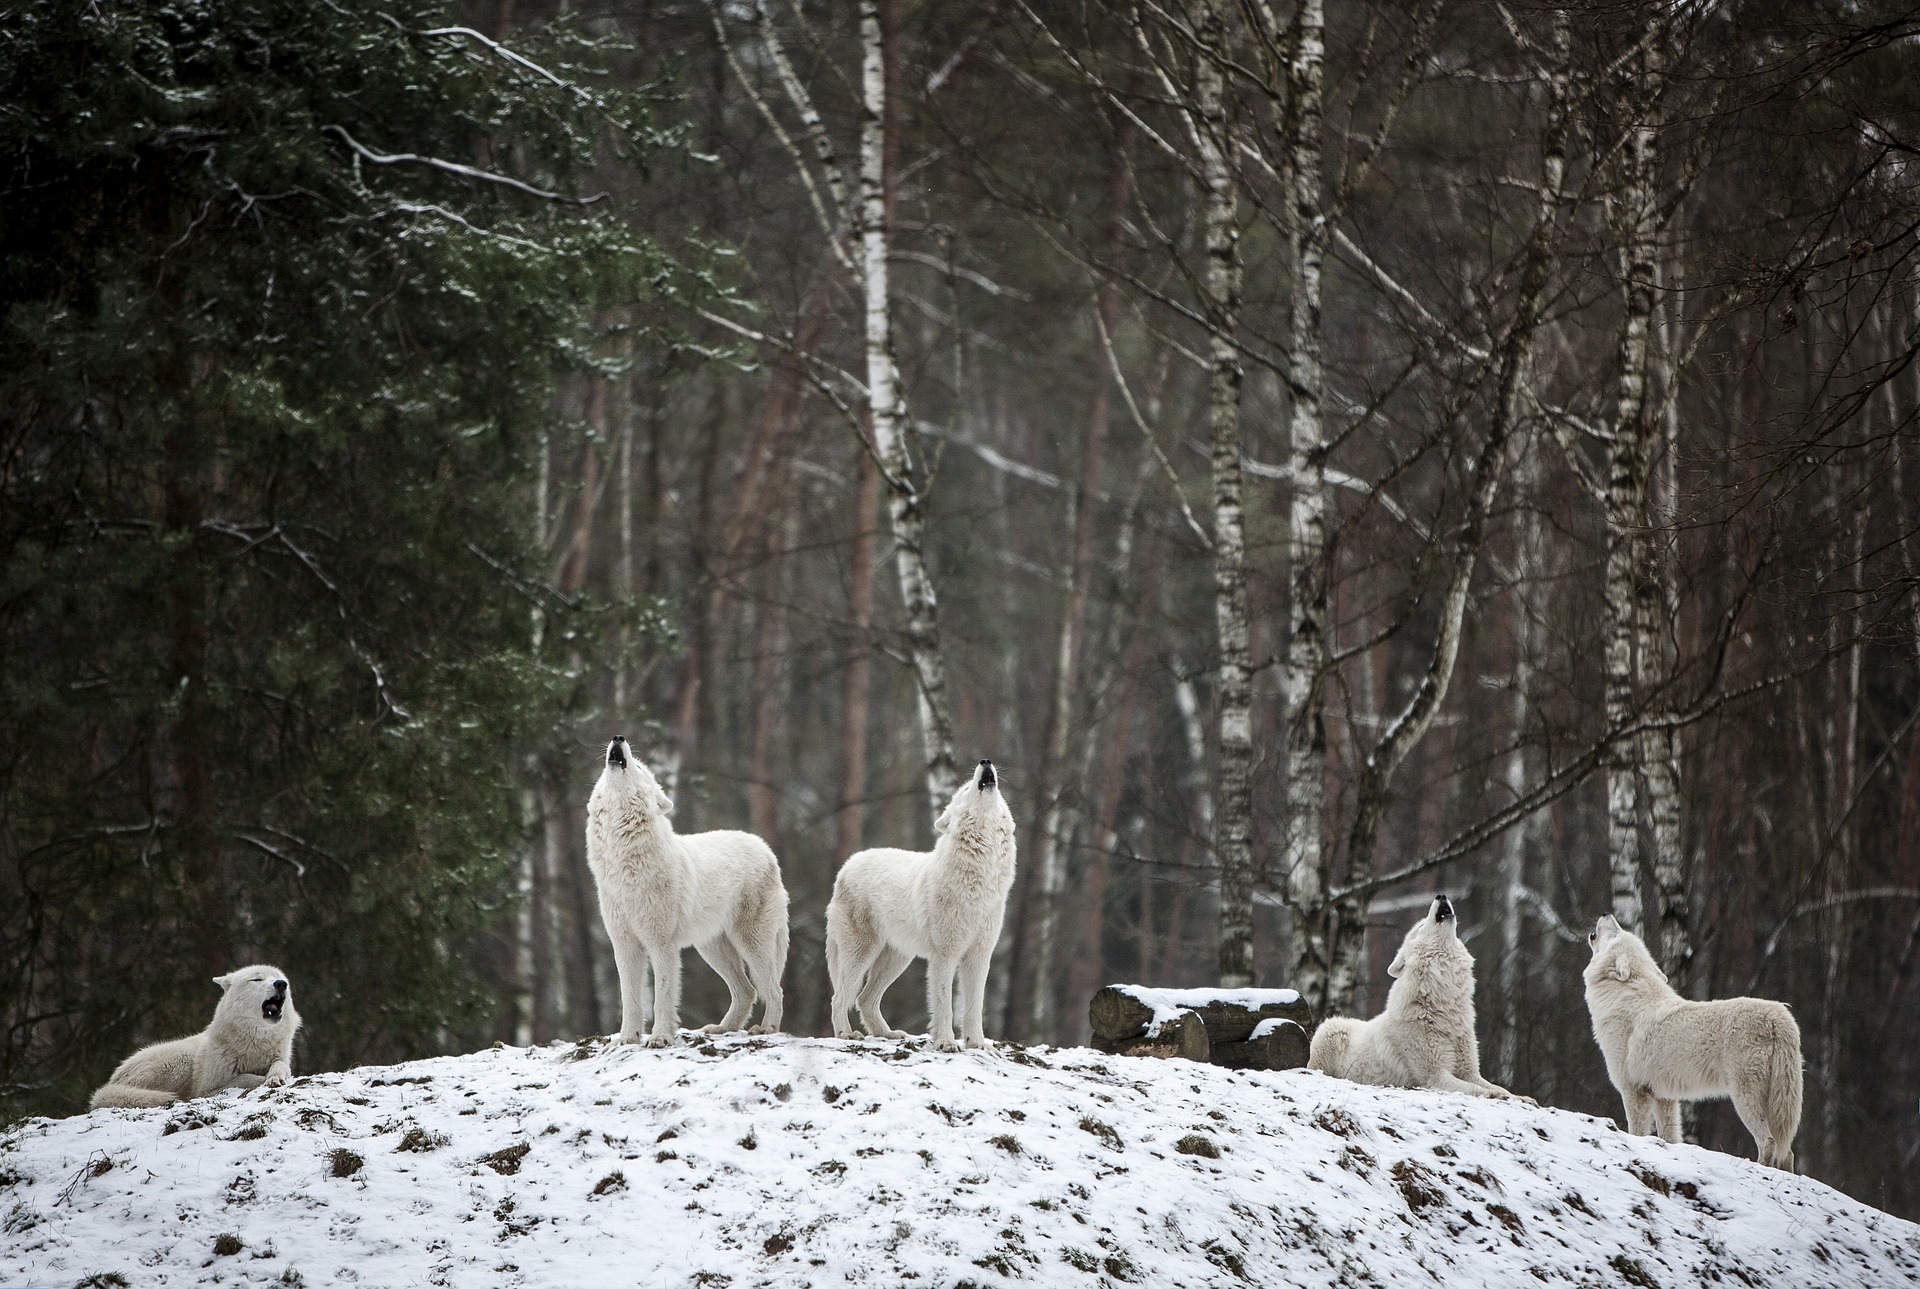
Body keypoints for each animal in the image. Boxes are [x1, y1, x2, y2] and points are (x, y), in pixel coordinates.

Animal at [89, 967, 300, 1110]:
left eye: (280, 979)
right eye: (256, 979)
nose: (281, 983)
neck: (255, 1043)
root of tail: (112, 1081)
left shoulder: (280, 1058)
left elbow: (281, 1066)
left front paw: (275, 1077)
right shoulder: (206, 1090)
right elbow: (244, 1077)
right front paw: (261, 1078)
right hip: (179, 1062)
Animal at [585, 735, 788, 1047]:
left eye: (640, 768)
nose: (618, 737)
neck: (624, 866)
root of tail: (765, 849)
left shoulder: (662, 944)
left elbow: (663, 996)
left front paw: (660, 1037)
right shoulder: (624, 945)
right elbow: (630, 998)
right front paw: (628, 1038)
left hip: (751, 943)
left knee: (773, 990)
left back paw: (766, 1029)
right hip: (712, 948)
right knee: (747, 991)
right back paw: (722, 1028)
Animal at [826, 760, 1016, 1051]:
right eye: (964, 790)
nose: (985, 761)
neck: (980, 881)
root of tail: (847, 866)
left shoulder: (980, 955)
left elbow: (974, 1006)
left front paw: (977, 1044)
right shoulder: (944, 955)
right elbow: (944, 1003)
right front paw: (946, 1042)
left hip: (897, 959)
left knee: (864, 999)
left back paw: (887, 1034)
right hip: (861, 953)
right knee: (840, 997)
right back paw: (846, 1034)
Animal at [1308, 895, 1526, 1100]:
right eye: (1421, 926)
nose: (1440, 895)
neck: (1443, 1007)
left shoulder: (1470, 1071)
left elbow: (1497, 1086)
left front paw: (1522, 1097)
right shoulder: (1436, 1076)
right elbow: (1477, 1089)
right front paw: (1496, 1095)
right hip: (1331, 1029)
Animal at [1584, 915, 1801, 1170]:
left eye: (1617, 933)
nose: (1607, 915)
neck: (1626, 997)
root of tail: (1778, 1016)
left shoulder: (1633, 1091)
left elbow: (1636, 1132)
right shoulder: (1664, 1097)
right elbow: (1669, 1137)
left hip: (1744, 1097)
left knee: (1768, 1142)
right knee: (1787, 1151)